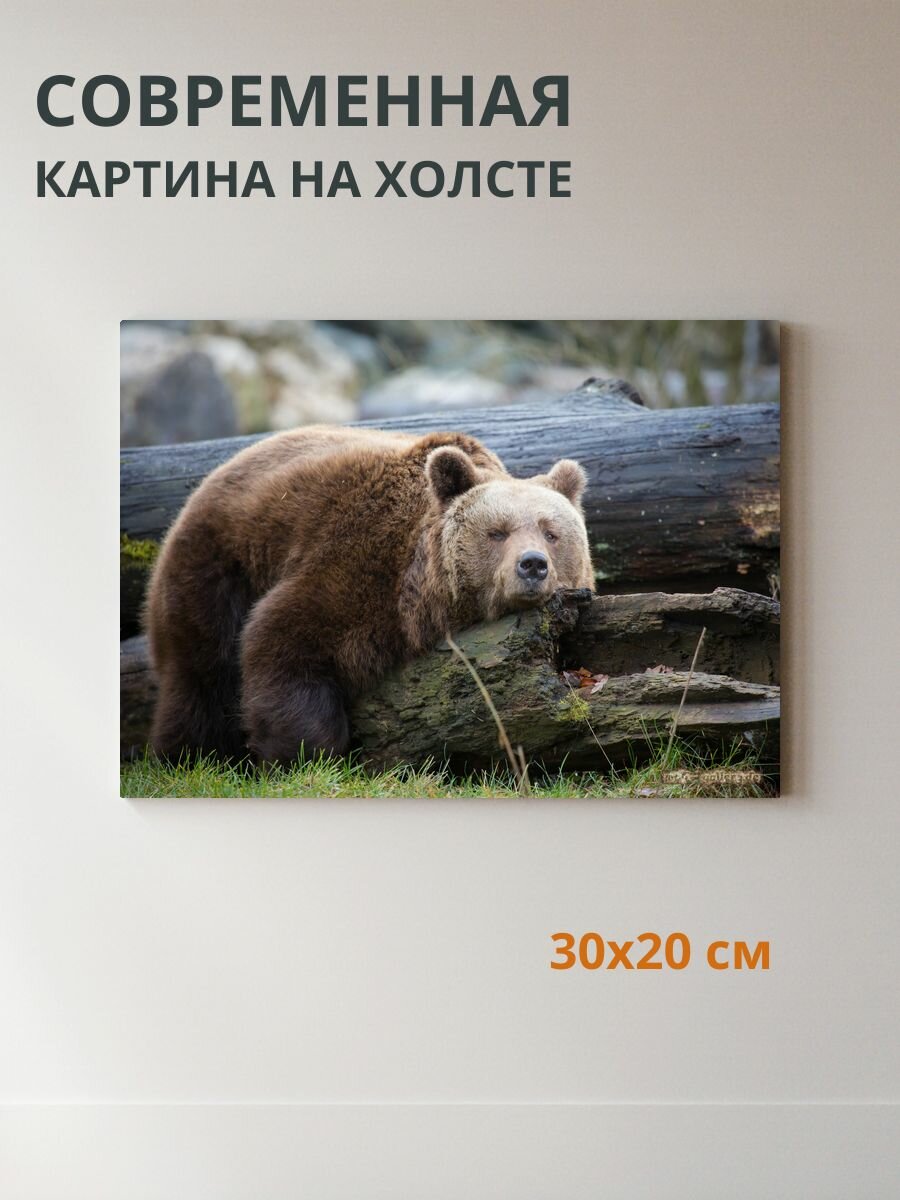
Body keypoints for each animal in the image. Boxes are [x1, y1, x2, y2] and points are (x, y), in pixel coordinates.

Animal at [145, 424, 593, 766]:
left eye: (551, 533)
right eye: (497, 532)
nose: (532, 565)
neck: (420, 591)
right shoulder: (355, 563)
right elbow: (282, 640)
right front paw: (302, 753)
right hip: (218, 565)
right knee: (201, 672)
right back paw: (188, 756)